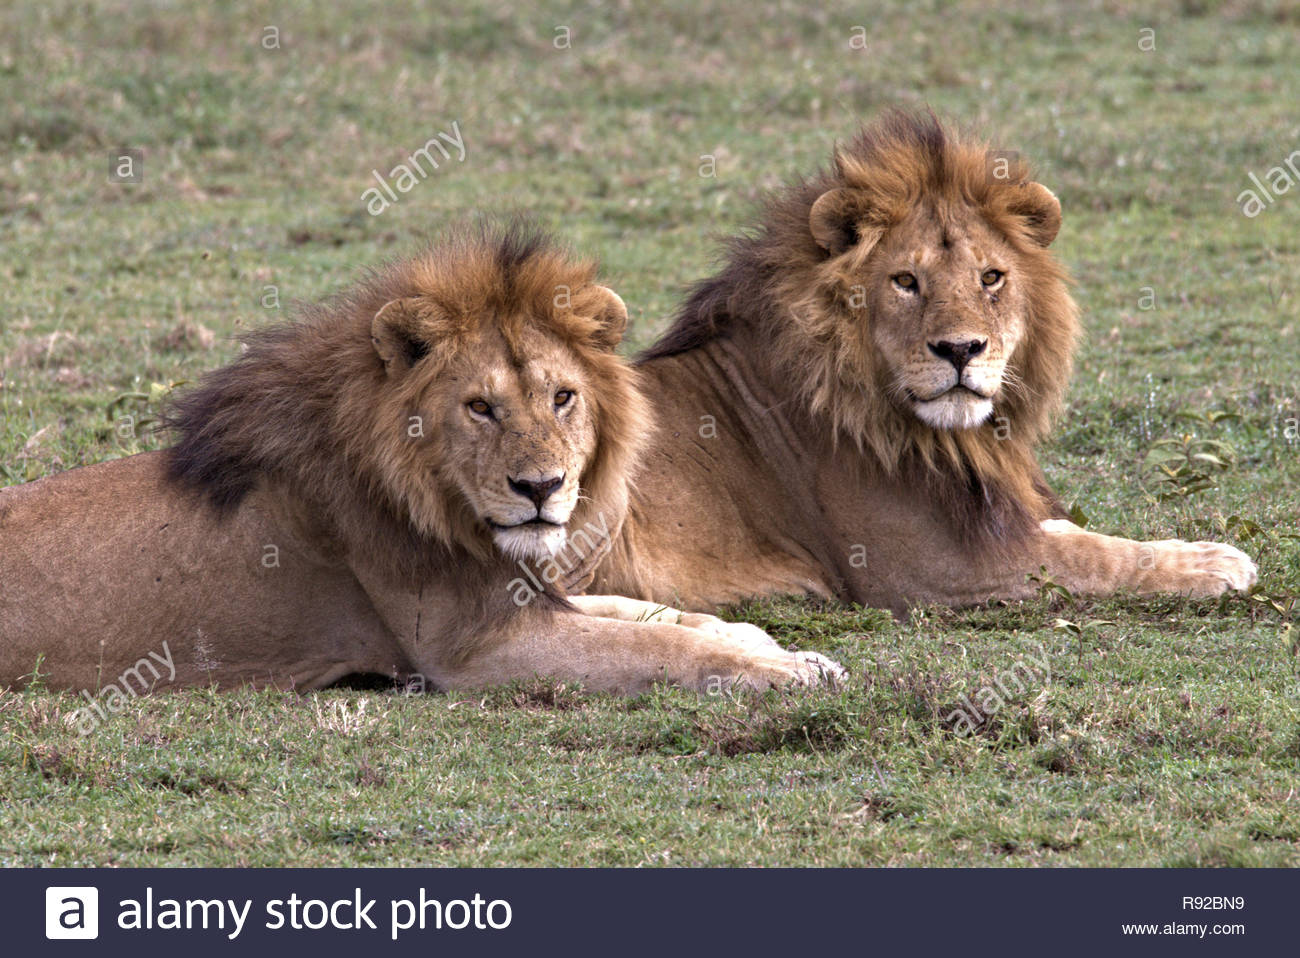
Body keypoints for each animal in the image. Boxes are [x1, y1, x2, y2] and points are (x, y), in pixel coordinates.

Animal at [0, 227, 843, 696]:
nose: (541, 488)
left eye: (563, 397)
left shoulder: (530, 594)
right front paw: (786, 674)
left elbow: (670, 617)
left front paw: (788, 650)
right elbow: (660, 645)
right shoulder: (473, 649)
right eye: (480, 407)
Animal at [581, 111, 1257, 613]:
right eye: (906, 281)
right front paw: (1216, 561)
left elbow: (1076, 534)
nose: (960, 349)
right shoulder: (938, 568)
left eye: (991, 277)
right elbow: (1094, 557)